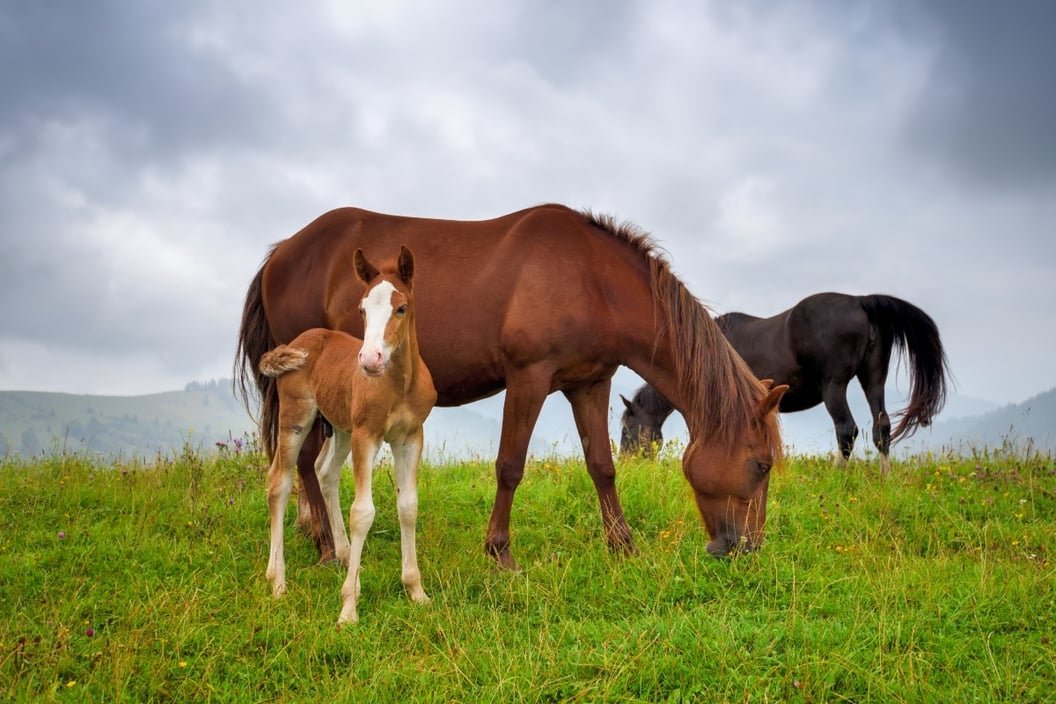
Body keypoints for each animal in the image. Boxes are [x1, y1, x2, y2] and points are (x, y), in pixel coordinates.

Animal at [237, 204, 787, 566]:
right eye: (761, 465)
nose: (749, 547)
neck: (592, 279)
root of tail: (281, 253)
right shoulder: (529, 378)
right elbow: (510, 465)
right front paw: (499, 553)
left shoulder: (590, 384)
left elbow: (602, 466)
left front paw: (623, 545)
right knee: (304, 462)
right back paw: (329, 546)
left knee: (310, 465)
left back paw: (322, 537)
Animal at [257, 245, 436, 625]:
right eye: (362, 310)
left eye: (401, 308)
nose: (370, 359)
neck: (399, 383)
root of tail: (297, 341)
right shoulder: (366, 436)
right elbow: (363, 512)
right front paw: (349, 607)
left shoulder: (411, 437)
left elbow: (408, 506)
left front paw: (416, 591)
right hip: (297, 418)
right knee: (279, 482)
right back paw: (278, 581)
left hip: (339, 428)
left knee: (325, 473)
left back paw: (342, 554)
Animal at [620, 292, 950, 473]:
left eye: (627, 428)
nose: (626, 461)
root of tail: (860, 303)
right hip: (873, 379)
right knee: (881, 427)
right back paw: (885, 477)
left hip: (834, 385)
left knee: (847, 429)